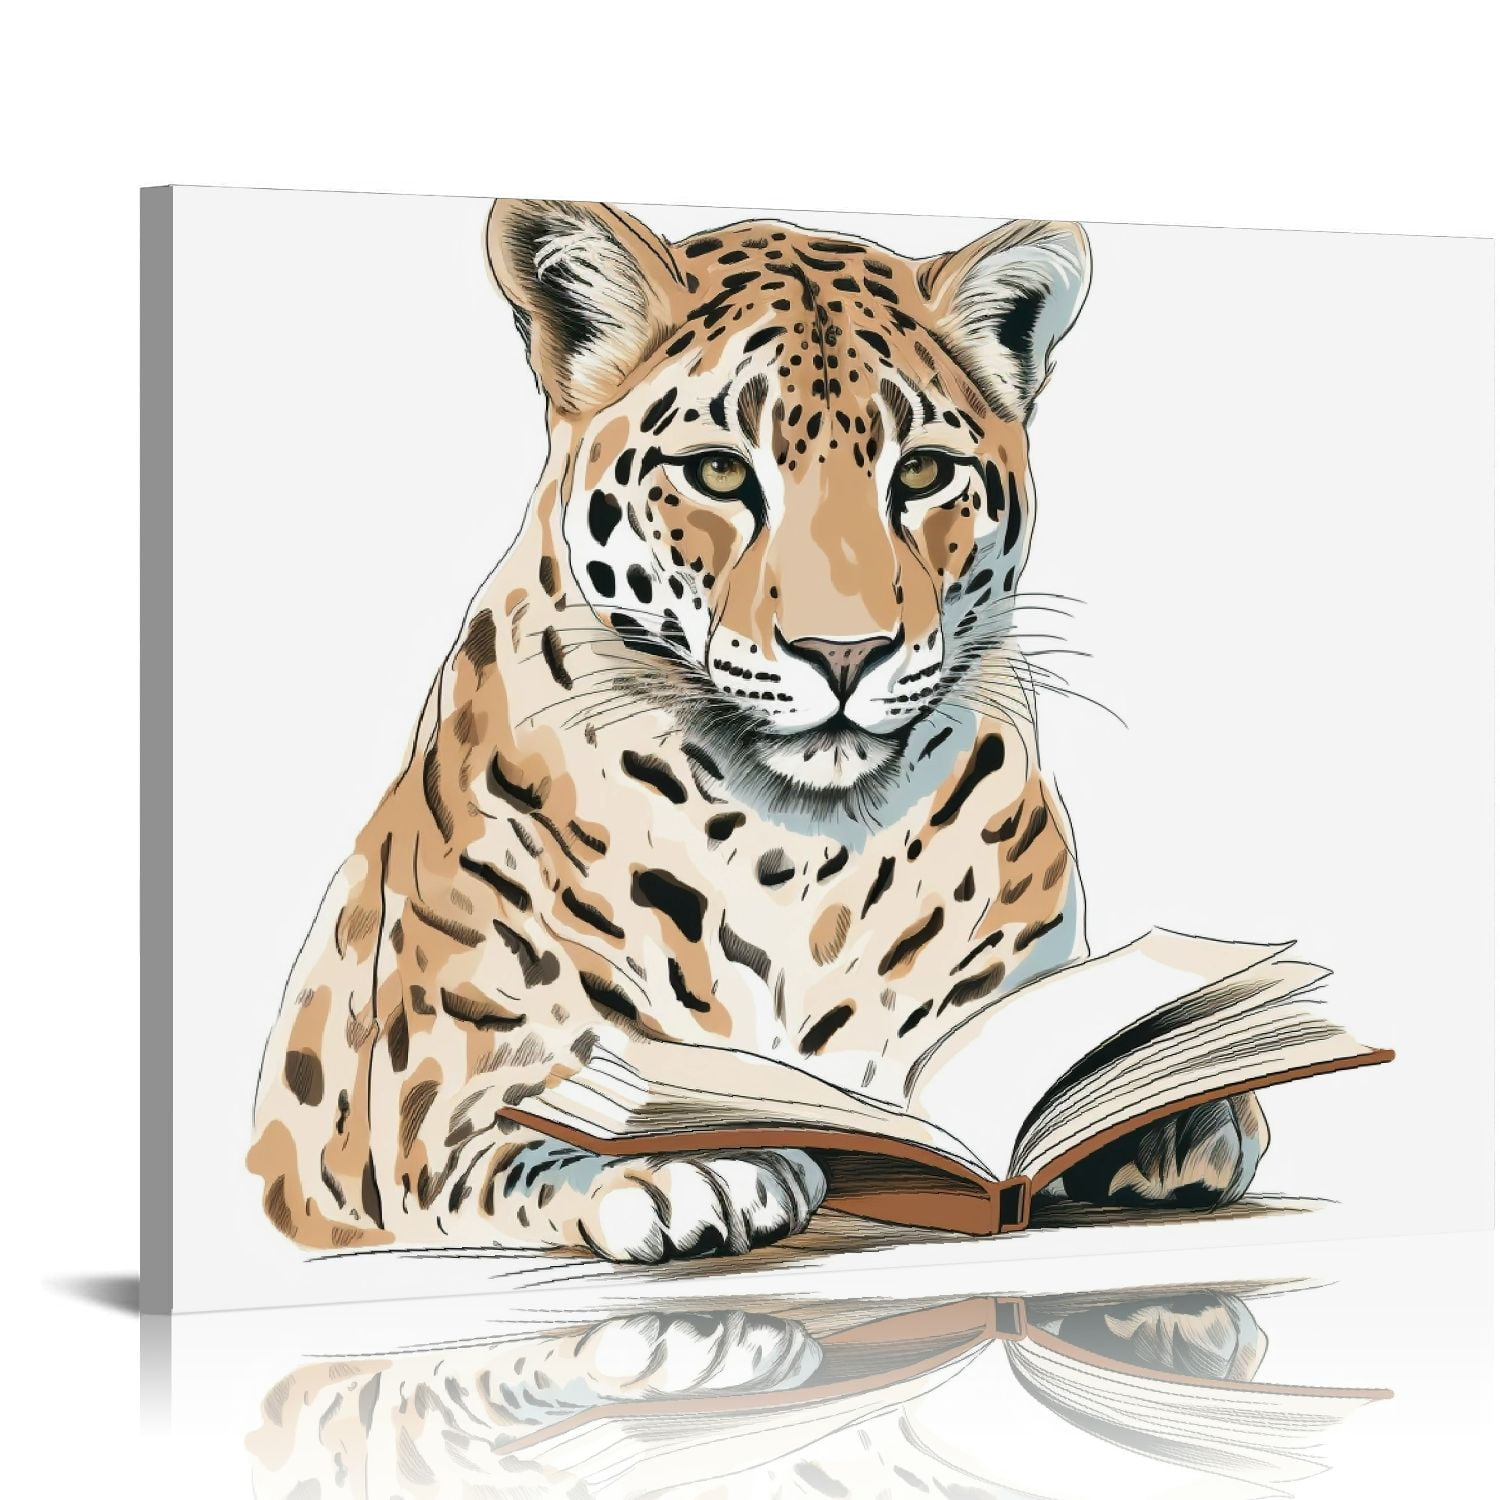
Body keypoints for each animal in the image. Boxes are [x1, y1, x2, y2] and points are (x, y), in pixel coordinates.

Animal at [248, 199, 1268, 1260]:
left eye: (925, 473)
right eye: (717, 473)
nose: (845, 653)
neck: (803, 852)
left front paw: (1160, 1099)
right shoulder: (433, 1101)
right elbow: (545, 1117)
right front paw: (691, 1159)